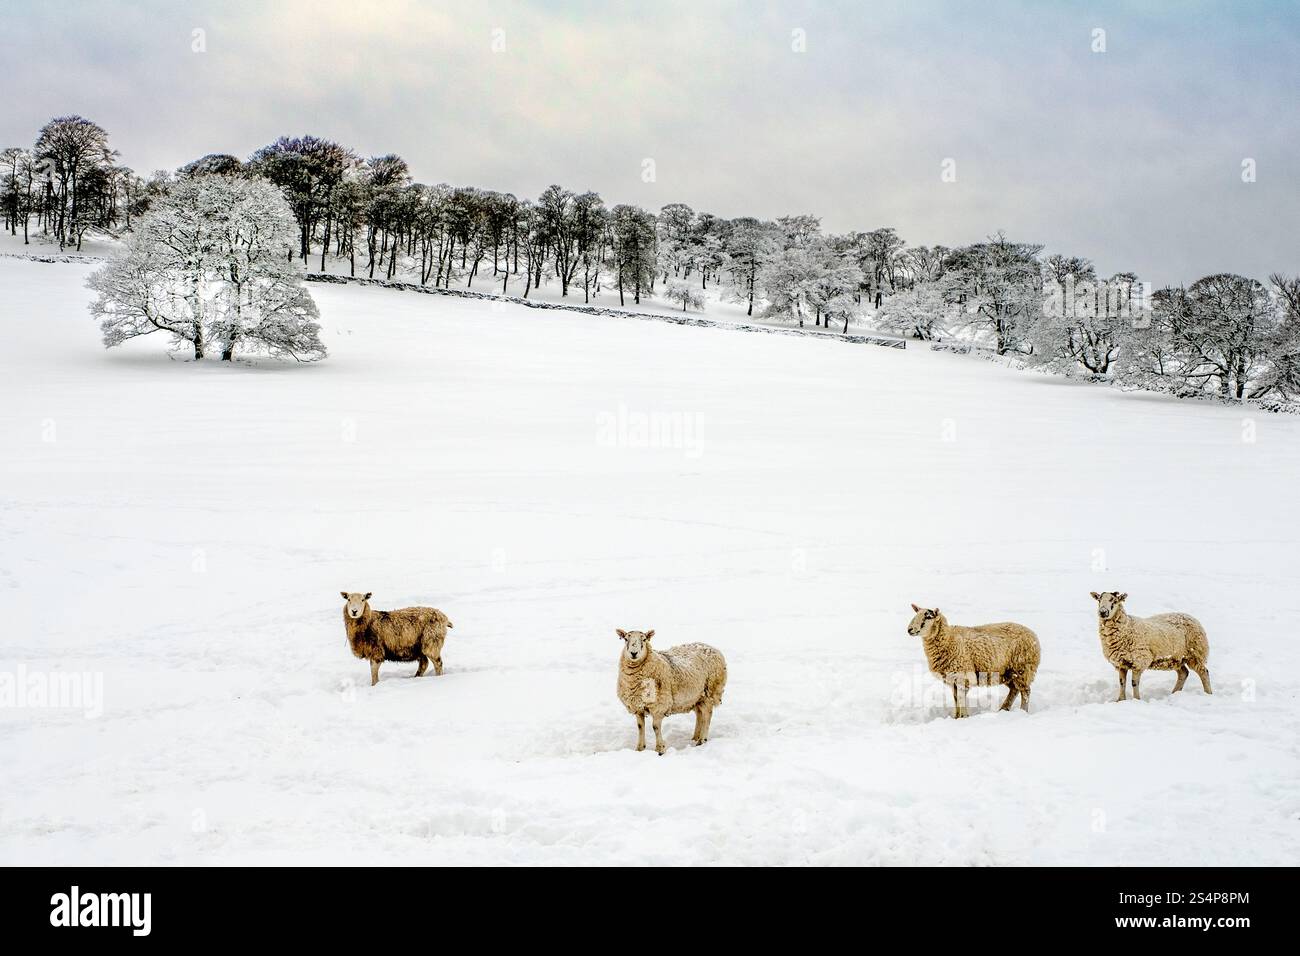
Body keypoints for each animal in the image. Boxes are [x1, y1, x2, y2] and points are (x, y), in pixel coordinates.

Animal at [906, 604, 1041, 718]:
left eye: (928, 617)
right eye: (916, 614)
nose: (909, 629)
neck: (949, 639)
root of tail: (1033, 634)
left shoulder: (962, 675)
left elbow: (961, 699)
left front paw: (963, 717)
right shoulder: (952, 679)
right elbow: (956, 699)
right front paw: (957, 717)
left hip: (1022, 667)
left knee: (1025, 691)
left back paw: (1023, 711)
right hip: (1008, 672)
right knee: (1014, 690)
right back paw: (1004, 709)